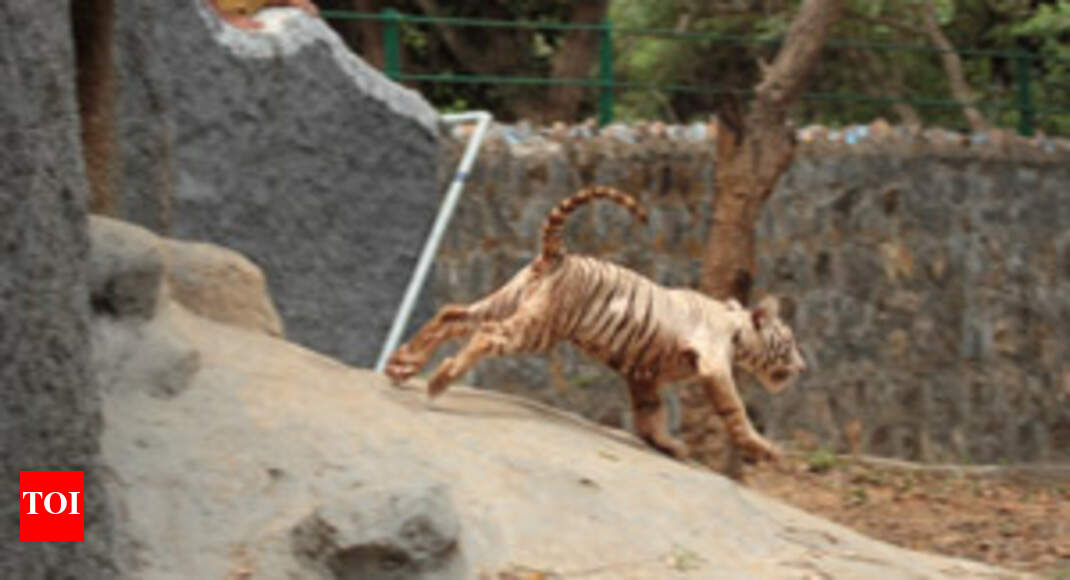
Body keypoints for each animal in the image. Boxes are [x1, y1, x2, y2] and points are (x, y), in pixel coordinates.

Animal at [386, 186, 807, 463]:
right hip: (537, 328)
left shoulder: (643, 374)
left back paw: (402, 365)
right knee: (485, 335)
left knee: (452, 315)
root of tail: (558, 252)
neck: (737, 327)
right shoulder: (714, 365)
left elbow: (651, 414)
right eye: (788, 341)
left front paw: (667, 445)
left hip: (506, 301)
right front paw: (764, 449)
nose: (803, 367)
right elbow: (735, 411)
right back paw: (440, 380)